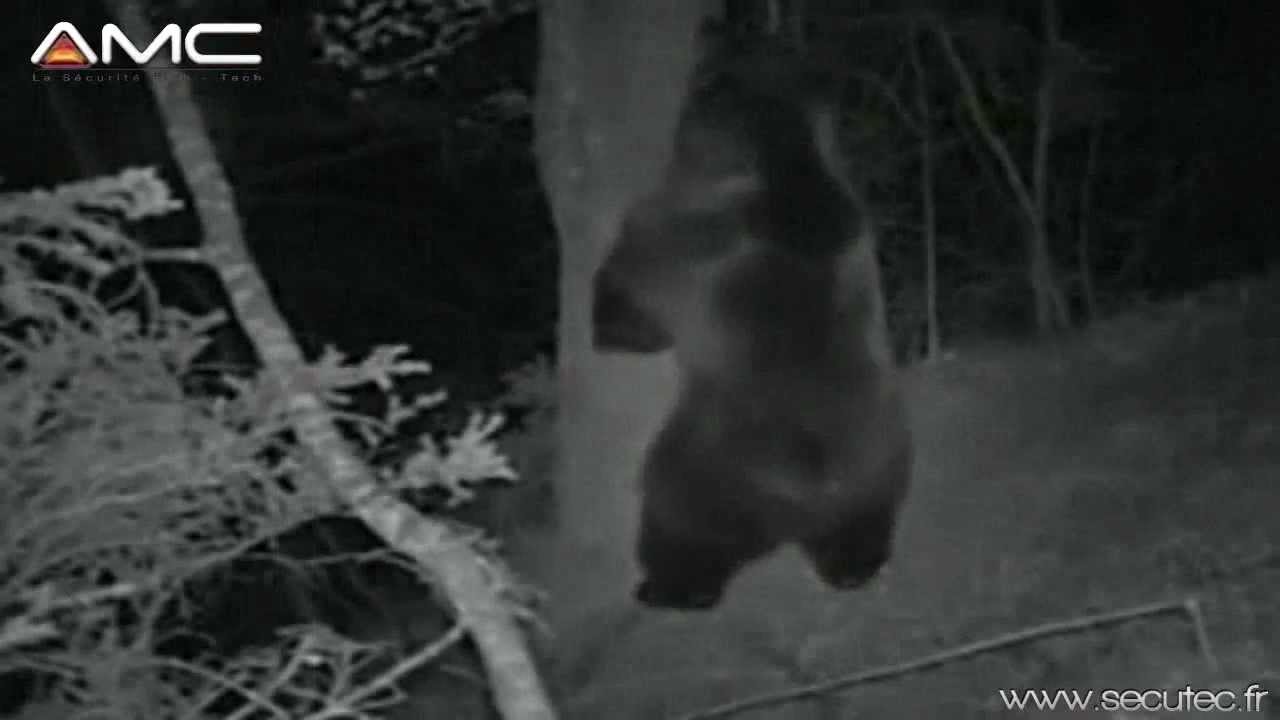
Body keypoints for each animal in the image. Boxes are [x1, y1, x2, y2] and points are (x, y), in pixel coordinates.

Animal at [590, 32, 914, 612]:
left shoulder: (677, 233)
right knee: (863, 517)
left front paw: (612, 319)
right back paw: (856, 564)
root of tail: (800, 505)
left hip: (708, 465)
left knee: (676, 521)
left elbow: (636, 296)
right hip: (875, 457)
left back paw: (672, 583)